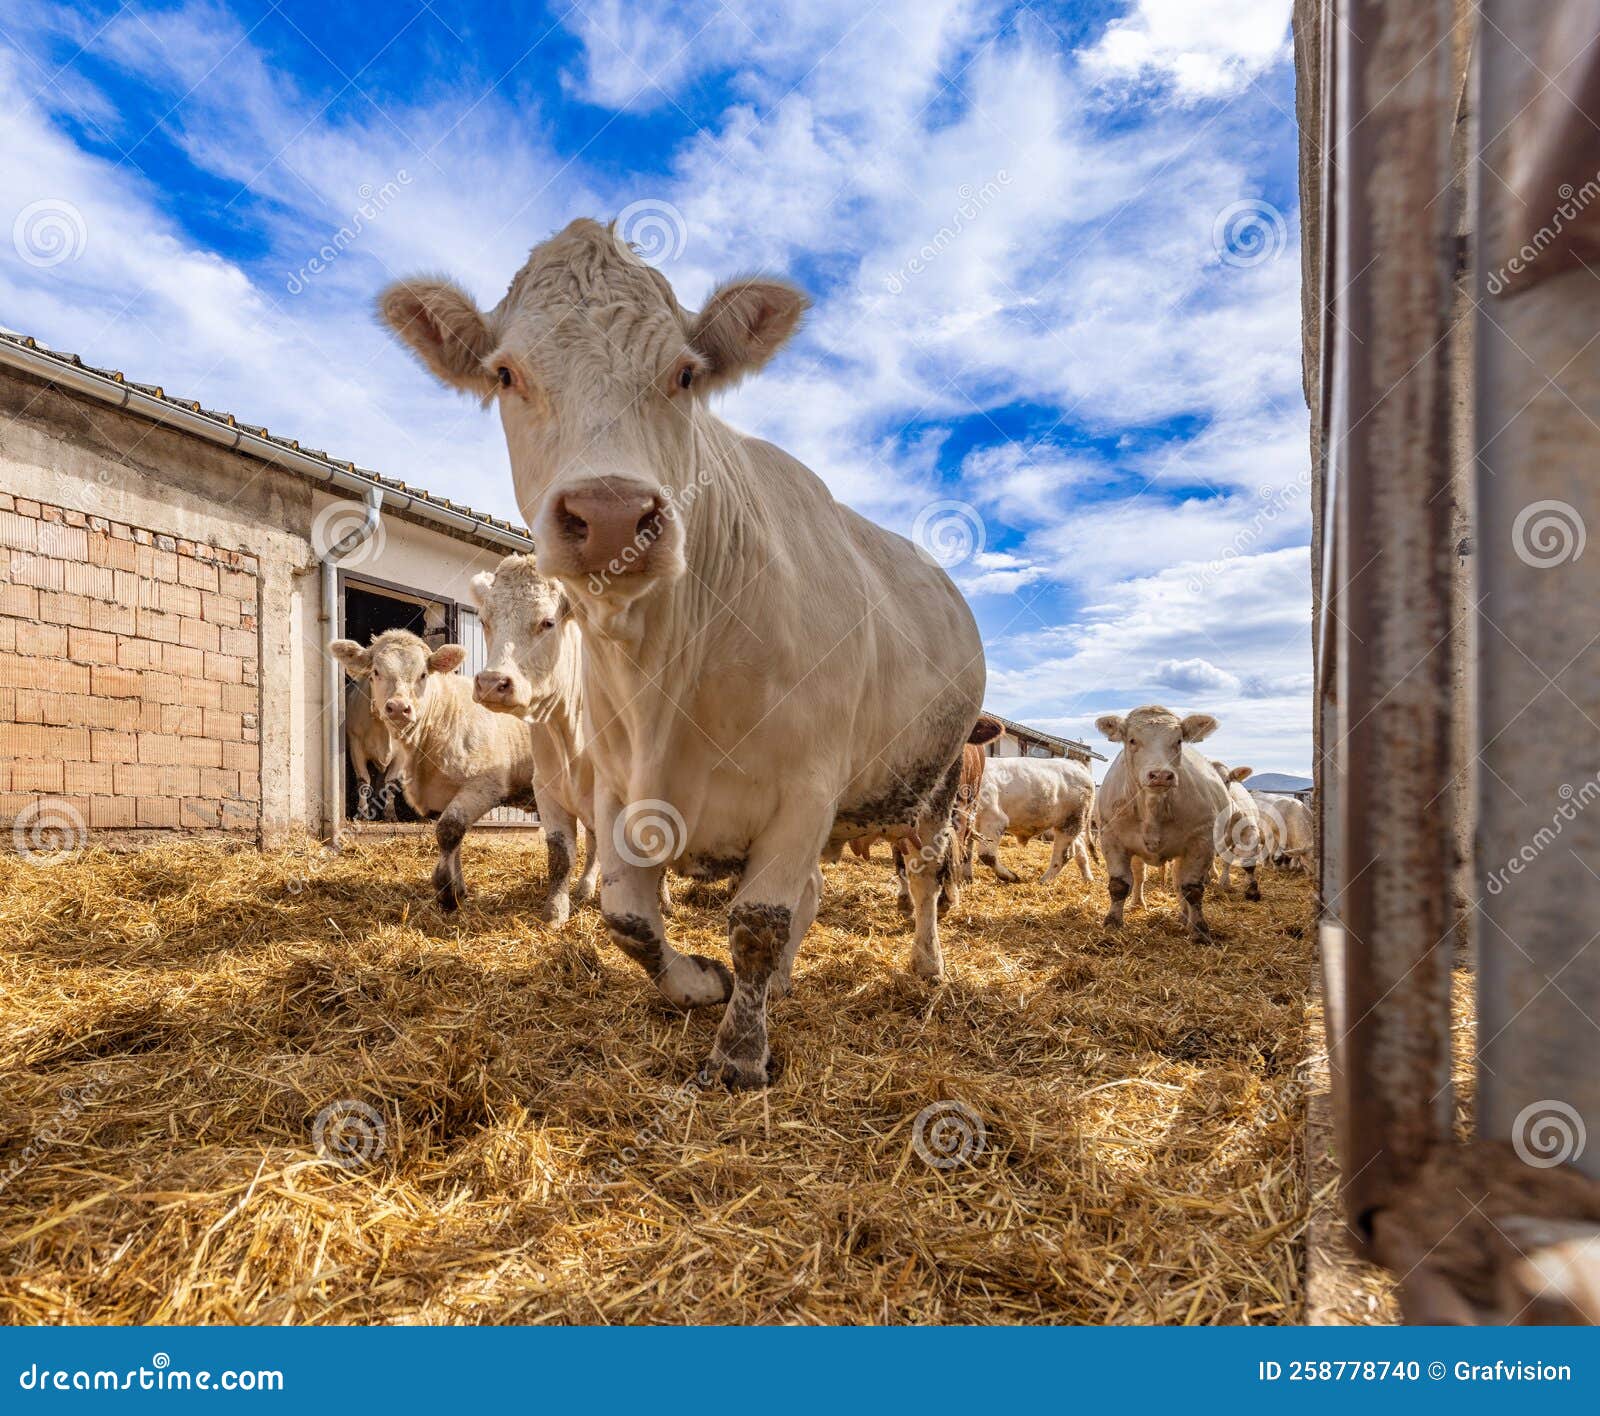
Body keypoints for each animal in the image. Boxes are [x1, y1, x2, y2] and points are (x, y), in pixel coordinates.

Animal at [346, 676, 400, 821]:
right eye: (372, 678)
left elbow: (391, 783)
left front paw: (390, 814)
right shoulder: (356, 747)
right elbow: (363, 780)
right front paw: (362, 813)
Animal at [466, 554, 601, 923]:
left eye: (547, 622)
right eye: (484, 620)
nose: (492, 682)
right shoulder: (547, 789)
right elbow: (561, 854)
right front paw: (555, 911)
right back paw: (585, 888)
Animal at [973, 756, 1097, 885]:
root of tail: (1076, 764)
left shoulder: (994, 819)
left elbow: (987, 856)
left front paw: (1010, 876)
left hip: (1070, 822)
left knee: (1064, 855)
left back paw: (1044, 880)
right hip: (1069, 825)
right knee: (1079, 848)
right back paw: (1088, 878)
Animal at [1094, 705, 1230, 941]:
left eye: (1179, 740)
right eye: (1132, 740)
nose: (1160, 775)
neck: (1153, 808)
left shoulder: (1201, 842)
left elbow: (1193, 889)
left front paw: (1199, 930)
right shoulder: (1111, 838)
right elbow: (1119, 885)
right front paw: (1112, 923)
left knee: (1178, 882)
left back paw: (1185, 917)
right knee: (1139, 876)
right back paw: (1138, 903)